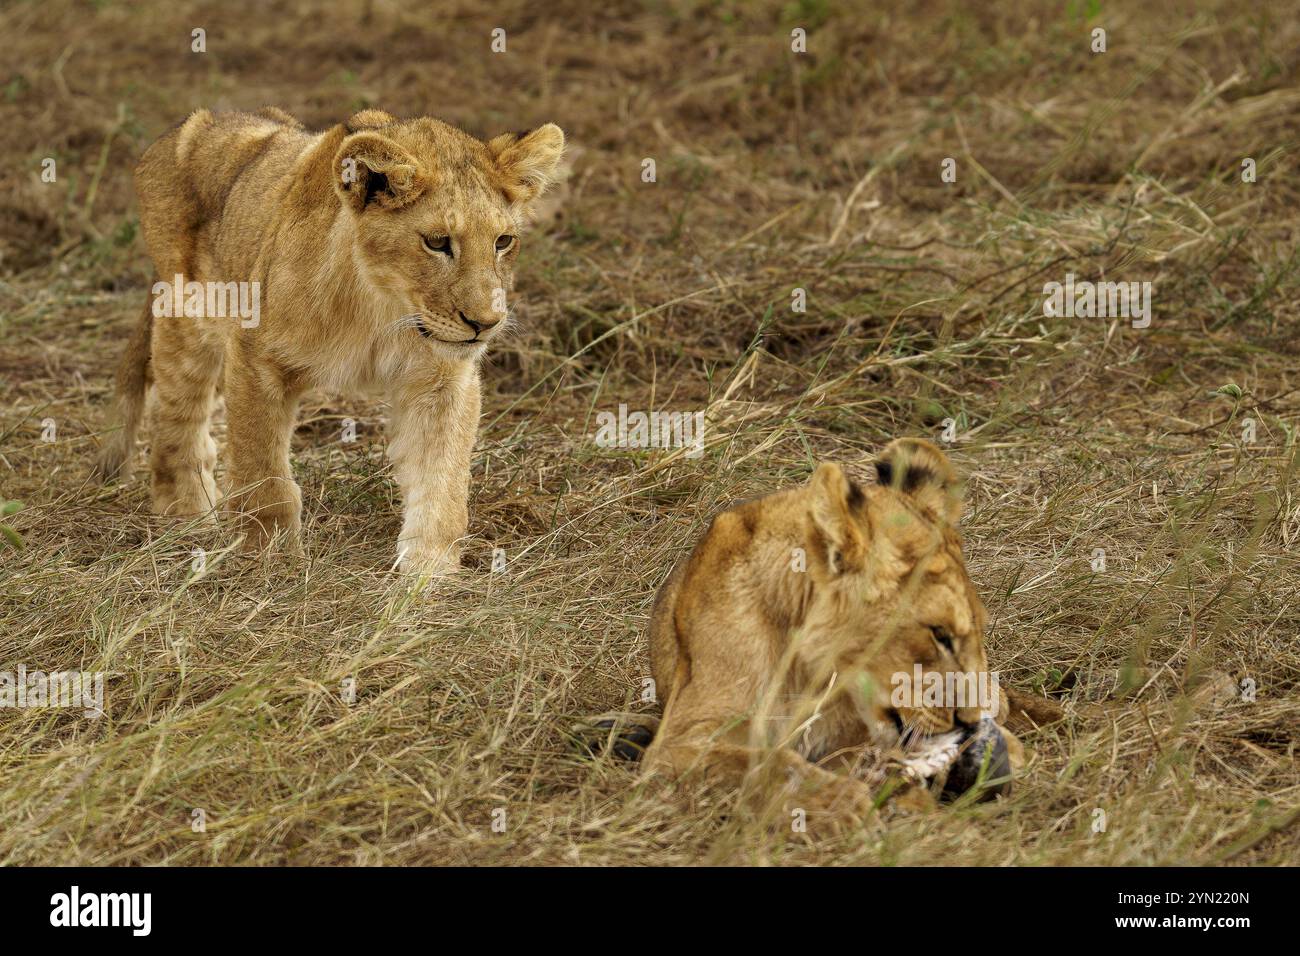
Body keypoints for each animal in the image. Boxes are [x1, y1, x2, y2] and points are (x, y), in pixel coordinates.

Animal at [94, 107, 565, 575]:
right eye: (436, 242)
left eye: (503, 241)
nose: (485, 323)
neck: (381, 307)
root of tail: (191, 122)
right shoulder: (255, 356)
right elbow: (261, 466)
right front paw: (271, 558)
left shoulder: (441, 379)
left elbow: (441, 476)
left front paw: (429, 571)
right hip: (188, 313)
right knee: (178, 414)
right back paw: (188, 514)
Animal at [582, 438, 1063, 825]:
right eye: (938, 634)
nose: (969, 722)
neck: (811, 672)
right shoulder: (681, 742)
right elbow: (772, 766)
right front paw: (849, 806)